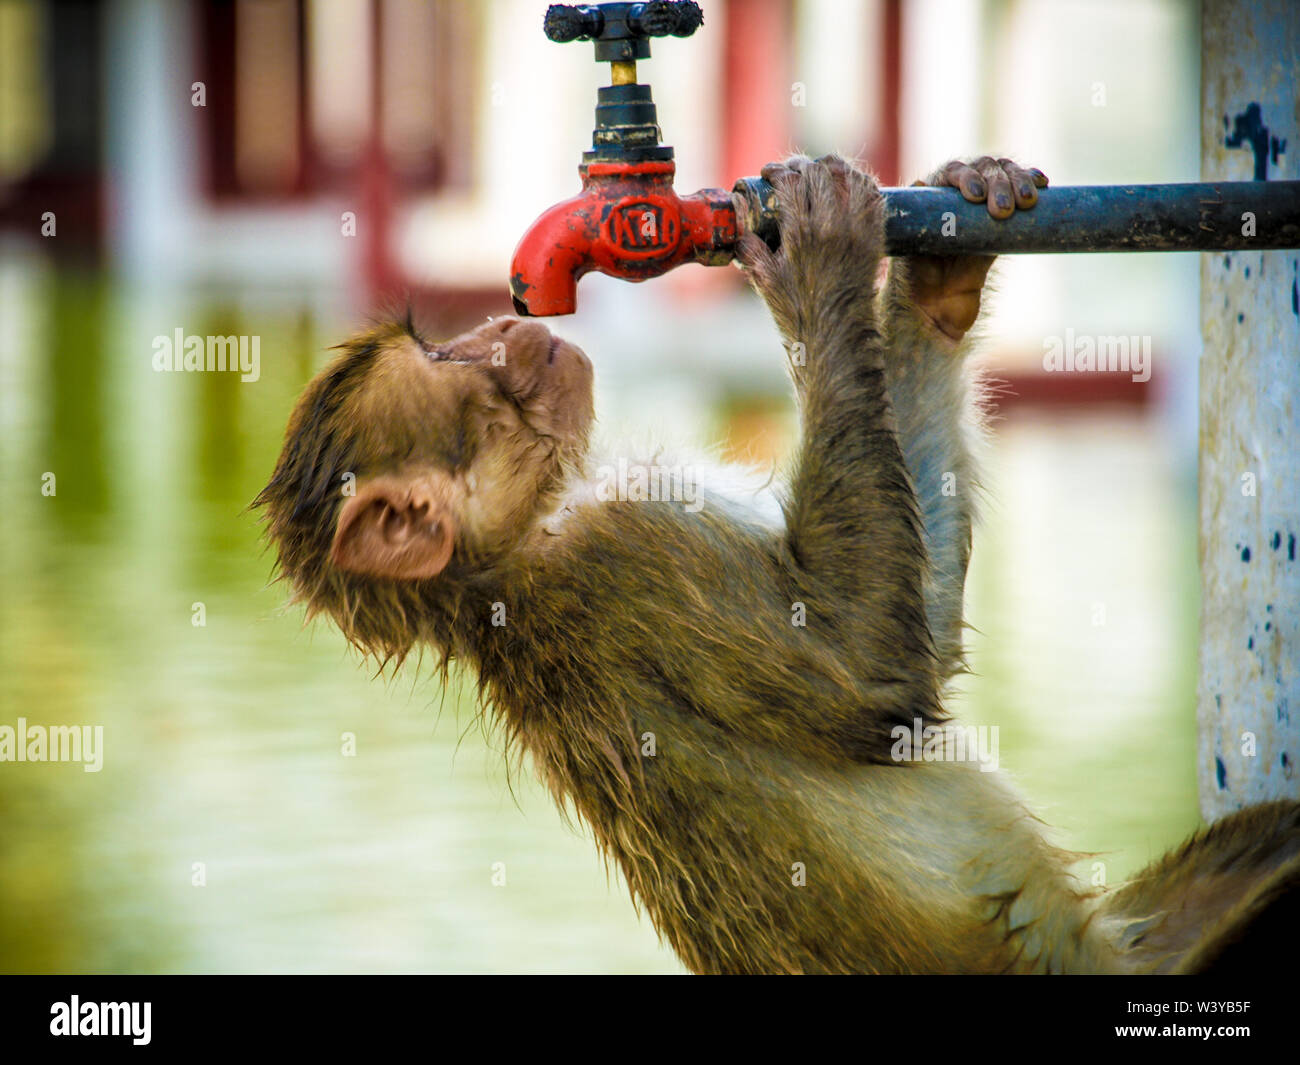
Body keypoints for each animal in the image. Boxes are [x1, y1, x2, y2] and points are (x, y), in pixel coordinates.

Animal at [256, 154, 1300, 974]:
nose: (507, 327)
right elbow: (871, 676)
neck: (516, 547)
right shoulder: (626, 550)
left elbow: (918, 631)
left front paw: (943, 269)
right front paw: (818, 265)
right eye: (451, 360)